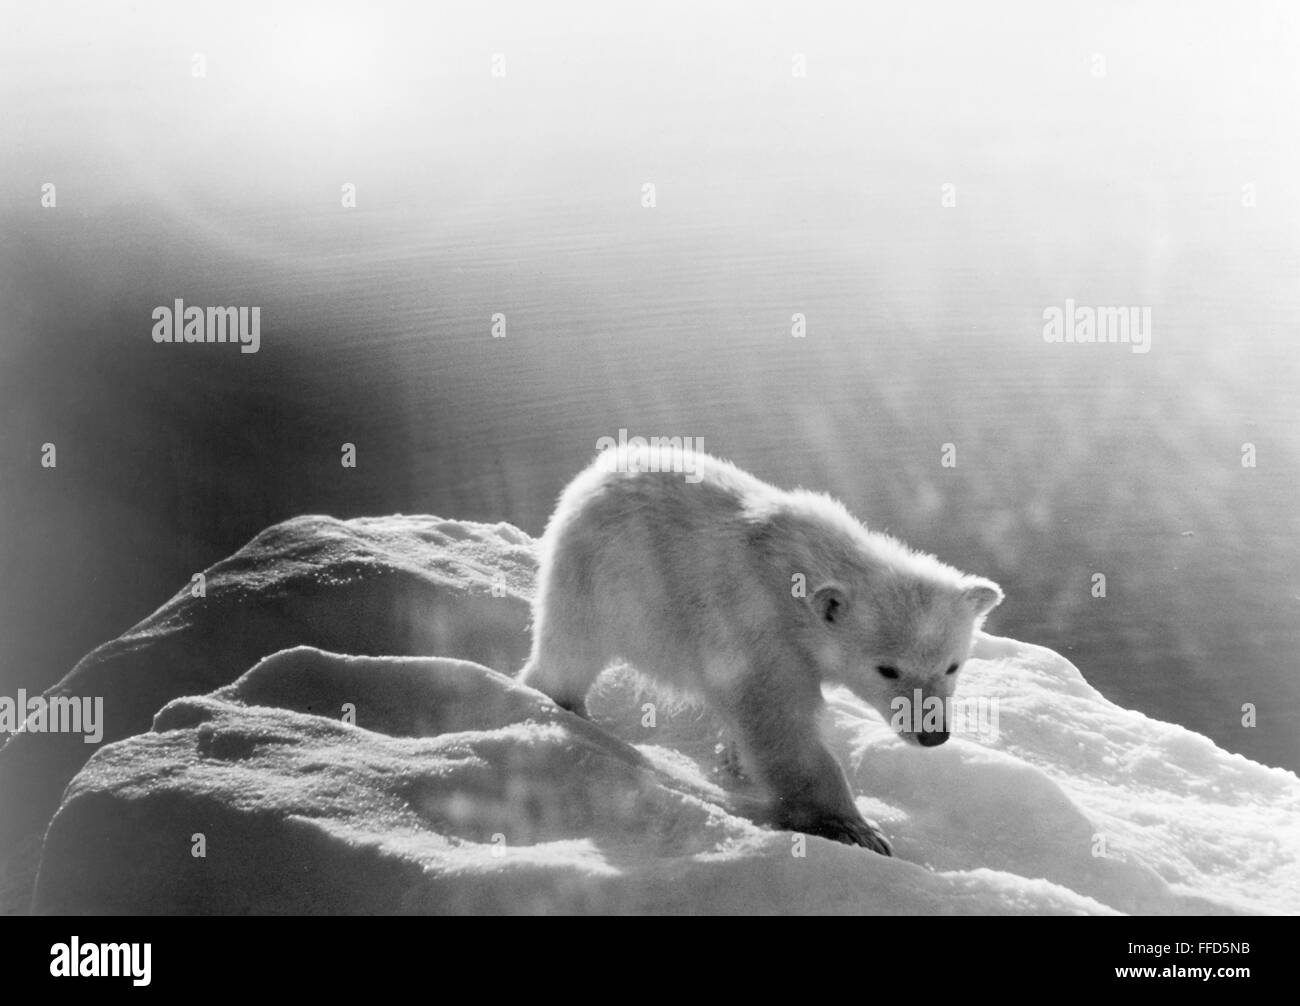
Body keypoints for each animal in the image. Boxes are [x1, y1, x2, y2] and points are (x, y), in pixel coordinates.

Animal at [519, 444, 1003, 854]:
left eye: (952, 666)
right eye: (888, 669)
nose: (933, 733)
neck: (798, 575)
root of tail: (600, 468)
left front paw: (737, 764)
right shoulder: (760, 630)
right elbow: (778, 723)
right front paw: (855, 829)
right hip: (601, 575)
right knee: (570, 649)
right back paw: (565, 706)